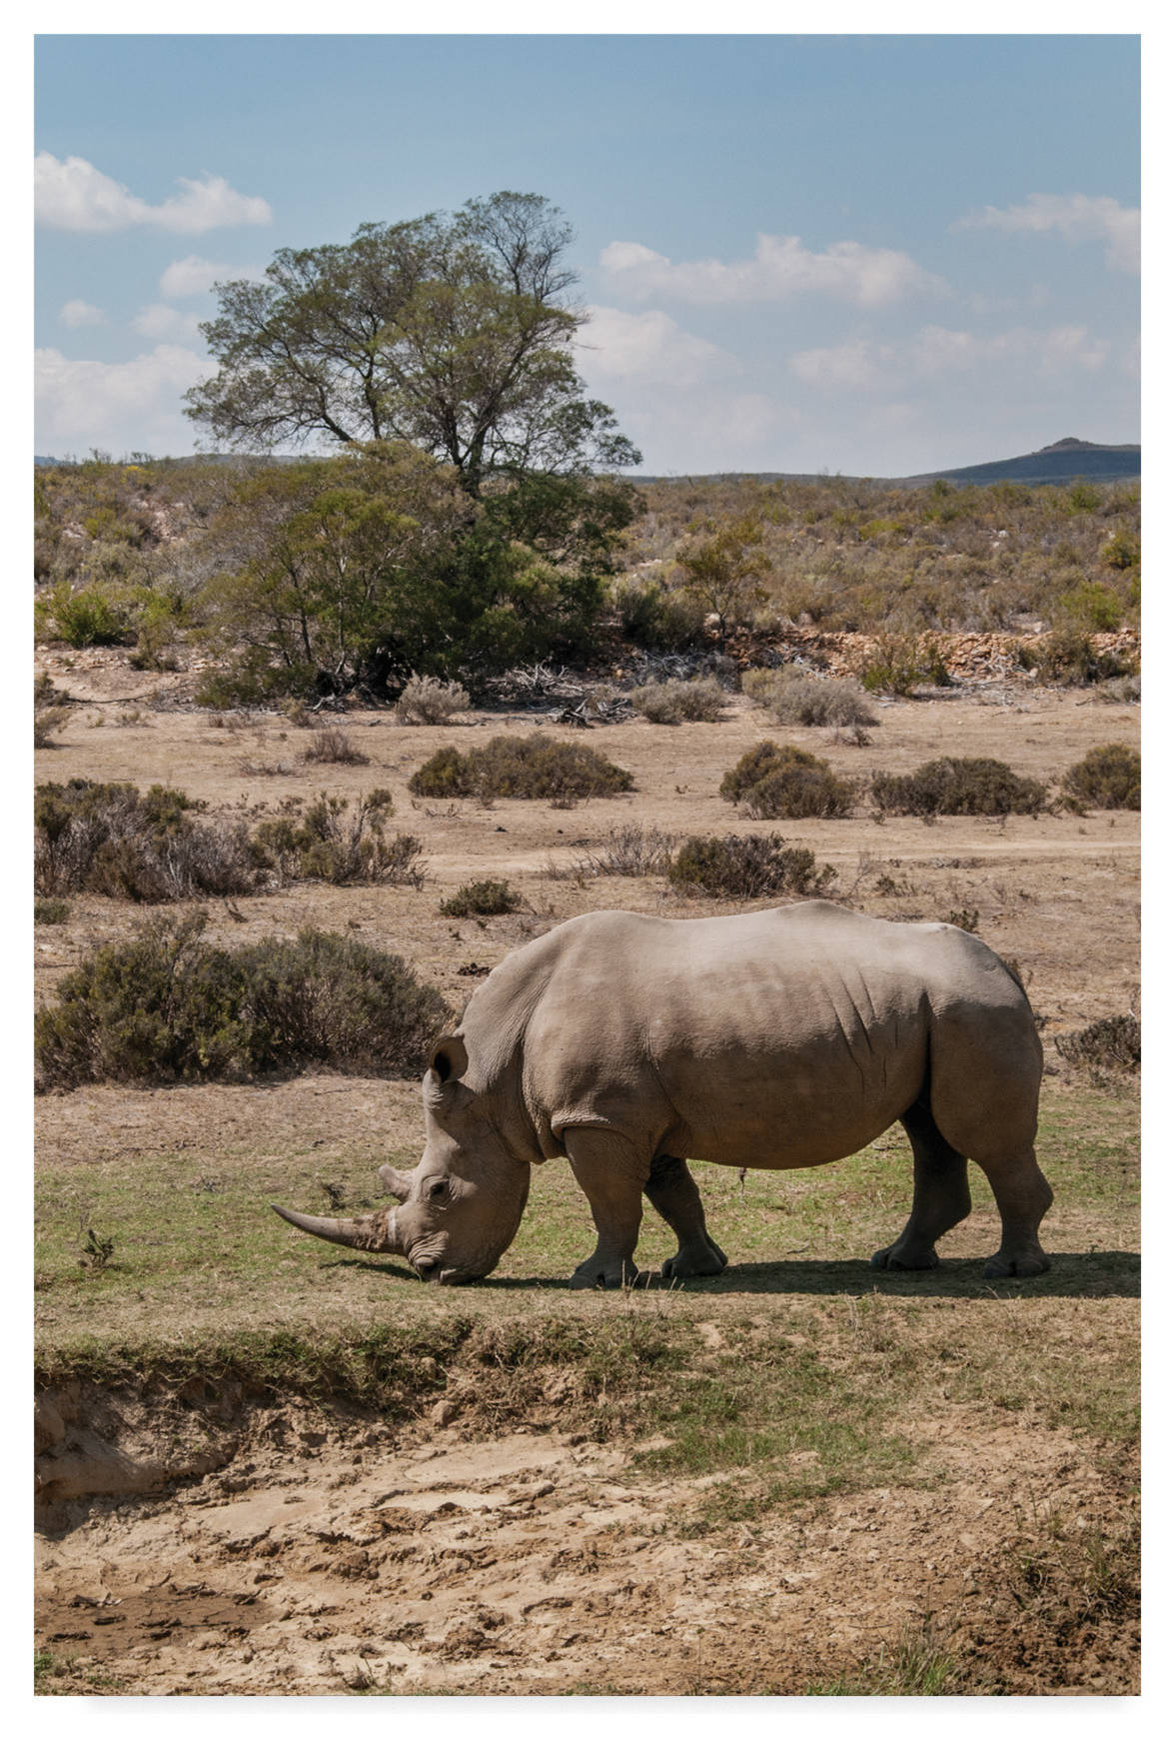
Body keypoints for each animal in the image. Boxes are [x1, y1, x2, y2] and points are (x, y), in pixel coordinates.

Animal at [273, 902, 1052, 1287]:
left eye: (438, 1191)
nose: (429, 1273)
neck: (488, 1080)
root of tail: (1005, 967)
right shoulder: (630, 1114)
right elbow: (672, 1195)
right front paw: (694, 1269)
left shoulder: (597, 1118)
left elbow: (611, 1202)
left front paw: (593, 1279)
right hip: (935, 1012)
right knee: (929, 1129)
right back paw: (898, 1262)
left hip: (971, 1009)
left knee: (978, 1138)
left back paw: (1010, 1272)